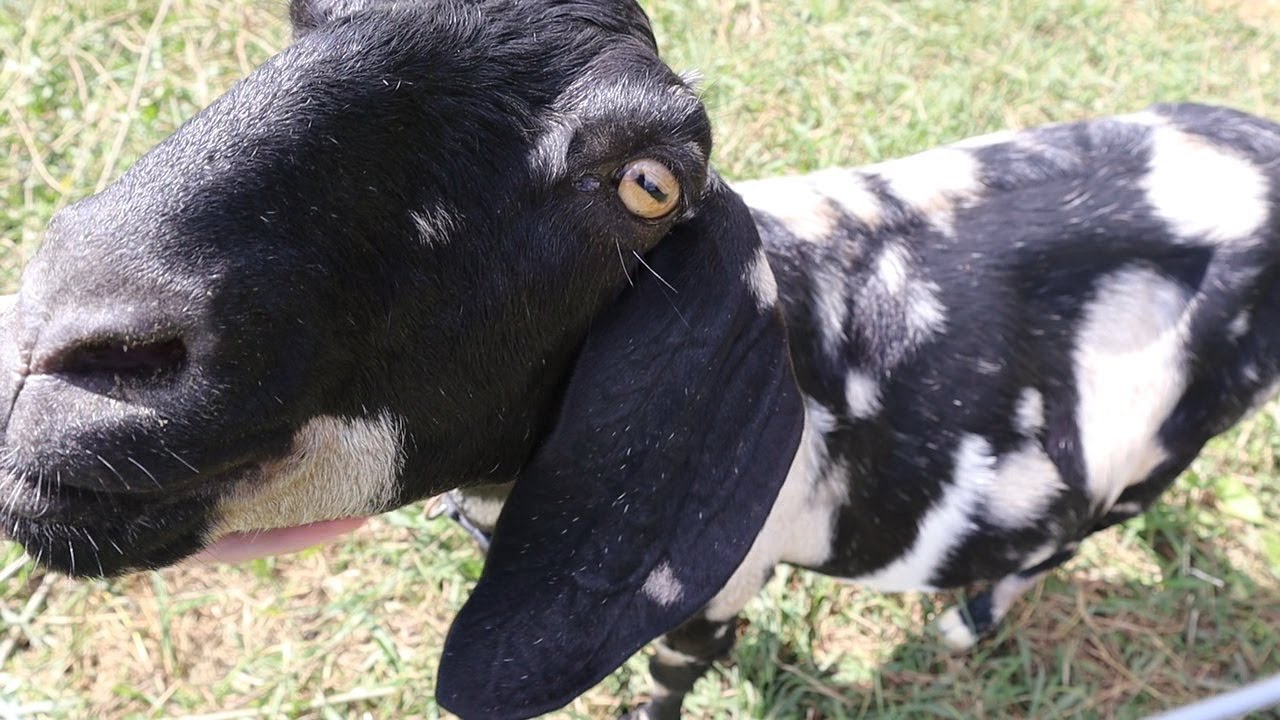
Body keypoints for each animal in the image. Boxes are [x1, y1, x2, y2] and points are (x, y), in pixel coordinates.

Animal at [1, 1, 1277, 718]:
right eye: (304, 15)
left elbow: (669, 683)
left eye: (648, 185)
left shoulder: (715, 594)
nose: (66, 349)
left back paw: (971, 620)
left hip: (1176, 434)